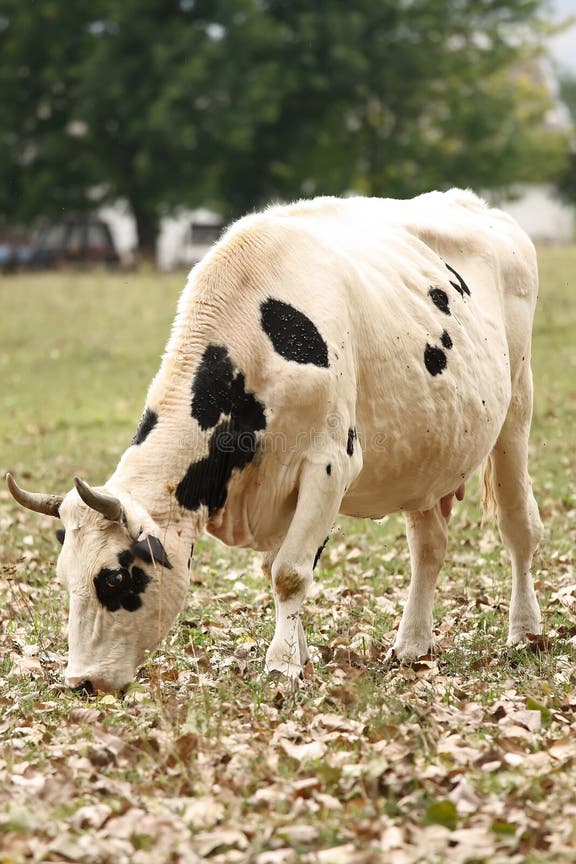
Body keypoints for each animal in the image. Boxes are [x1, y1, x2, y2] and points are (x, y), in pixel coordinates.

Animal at [6, 189, 543, 694]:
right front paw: (299, 655)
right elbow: (277, 570)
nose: (81, 681)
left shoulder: (330, 465)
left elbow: (289, 572)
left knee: (519, 529)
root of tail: (477, 206)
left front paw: (281, 664)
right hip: (425, 453)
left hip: (515, 409)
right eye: (63, 579)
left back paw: (525, 633)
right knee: (428, 547)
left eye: (114, 577)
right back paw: (413, 644)